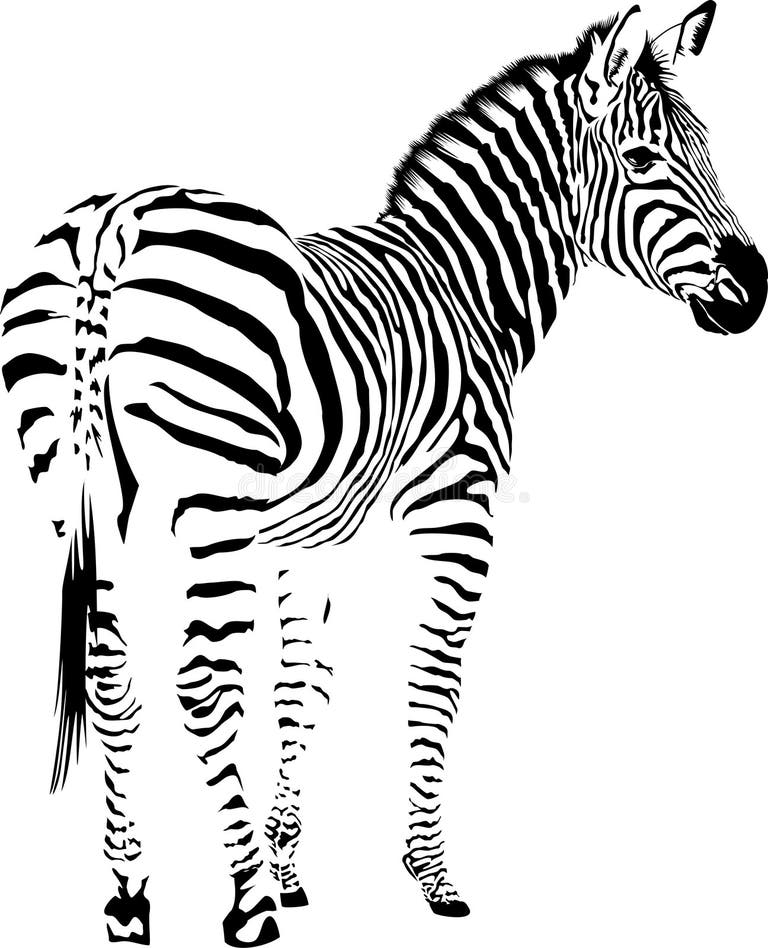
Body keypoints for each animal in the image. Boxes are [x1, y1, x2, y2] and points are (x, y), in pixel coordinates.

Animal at [1, 2, 765, 945]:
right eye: (645, 160)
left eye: (710, 153)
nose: (758, 289)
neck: (464, 289)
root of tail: (112, 223)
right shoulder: (458, 510)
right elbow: (431, 683)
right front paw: (427, 874)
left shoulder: (309, 542)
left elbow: (302, 688)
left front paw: (291, 867)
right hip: (213, 505)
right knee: (202, 682)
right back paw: (245, 905)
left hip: (77, 499)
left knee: (111, 678)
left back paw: (130, 896)